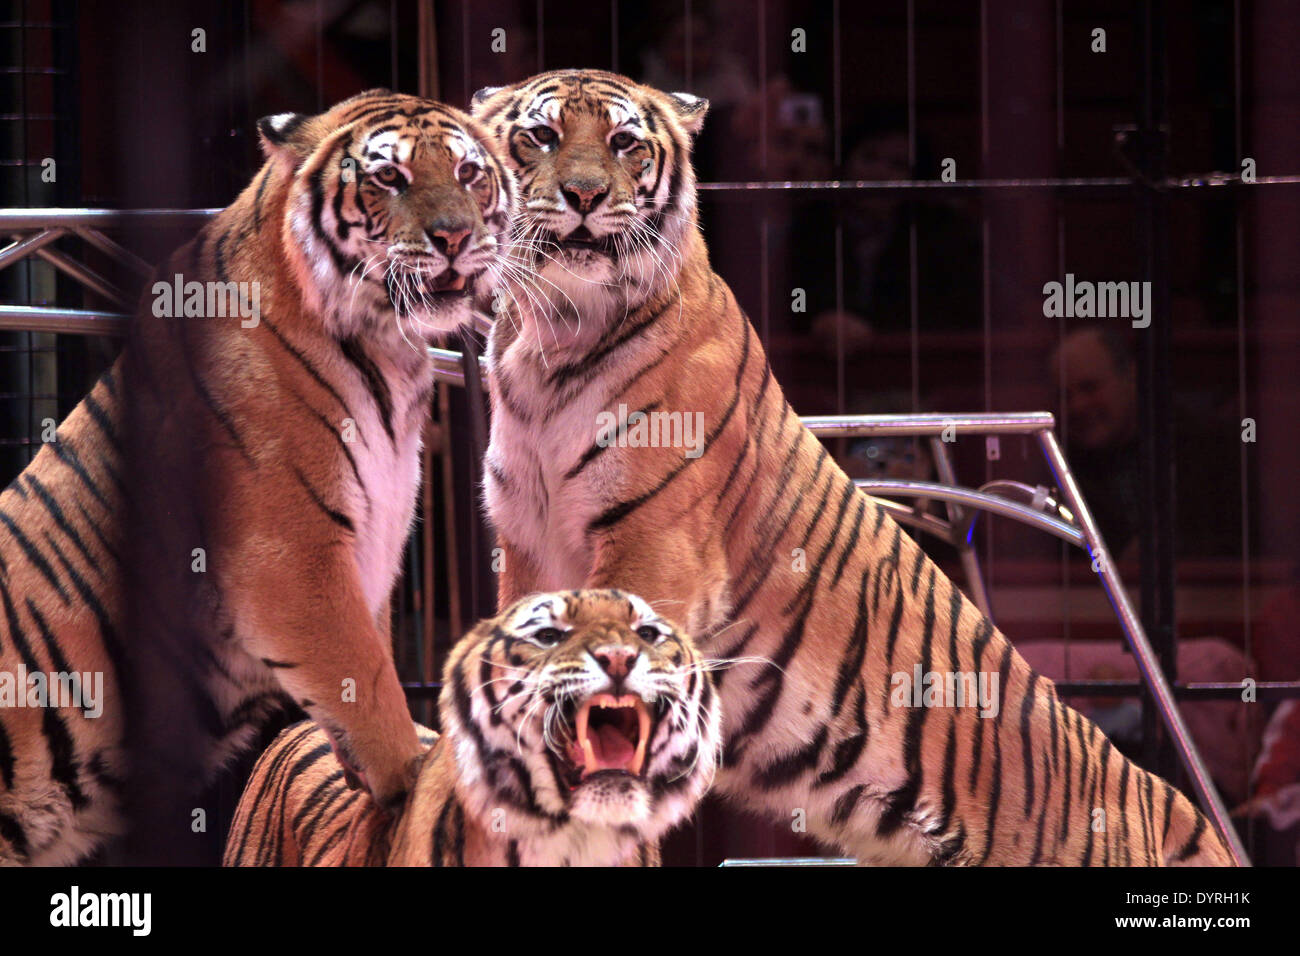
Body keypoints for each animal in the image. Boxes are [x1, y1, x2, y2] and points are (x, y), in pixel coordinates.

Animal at [0, 89, 516, 864]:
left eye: (468, 173)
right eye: (389, 178)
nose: (455, 236)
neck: (387, 349)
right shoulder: (289, 555)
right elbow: (366, 677)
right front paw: (410, 772)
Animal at [470, 69, 1235, 866]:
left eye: (624, 142)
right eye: (541, 136)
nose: (585, 195)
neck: (551, 339)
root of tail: (1172, 806)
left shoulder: (654, 549)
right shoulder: (528, 549)